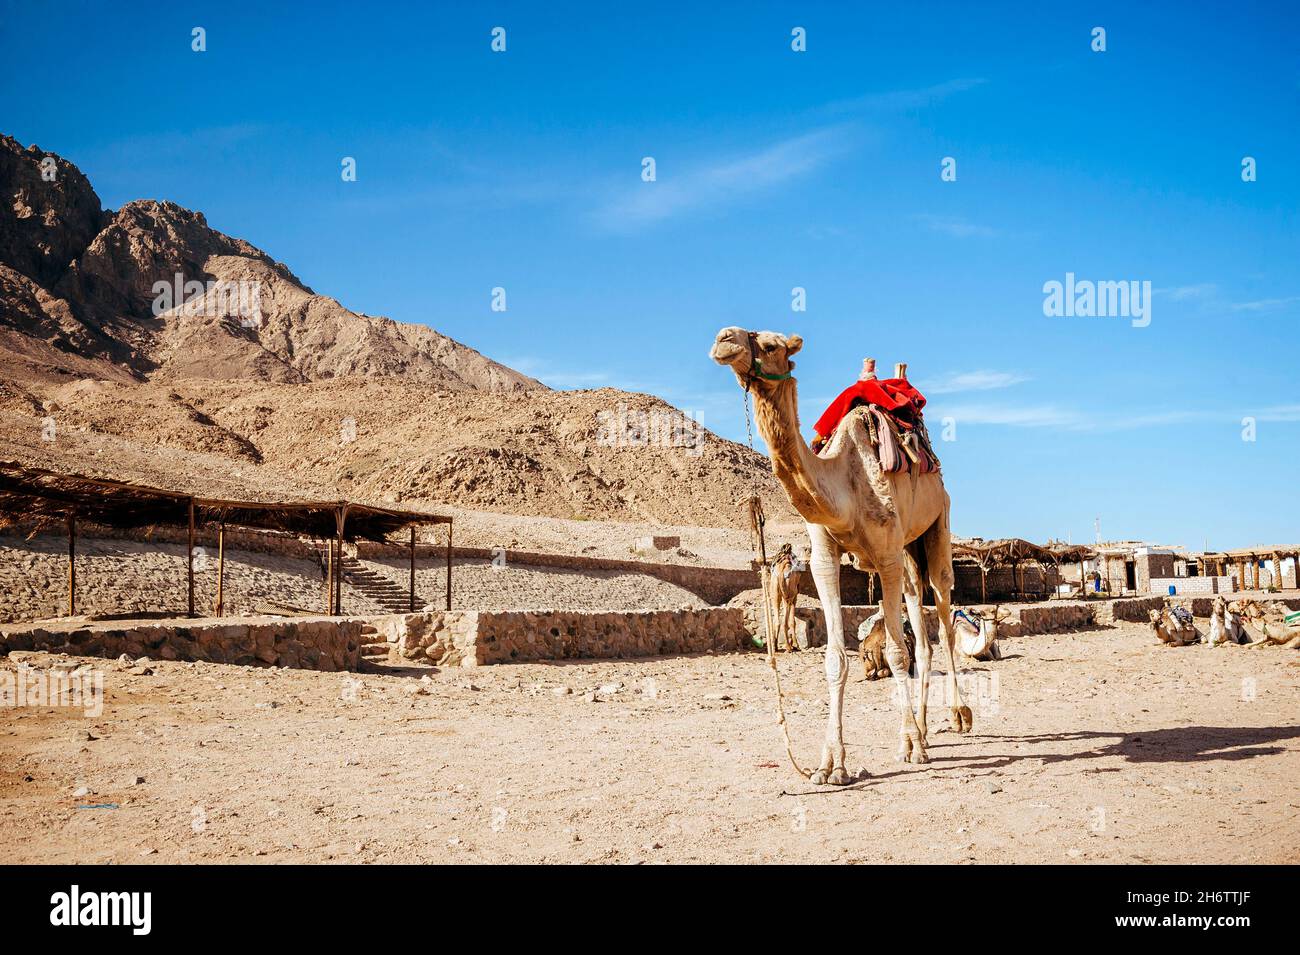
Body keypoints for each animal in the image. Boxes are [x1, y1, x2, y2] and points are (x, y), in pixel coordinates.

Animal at [711, 326, 969, 784]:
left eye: (773, 345)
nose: (724, 339)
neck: (845, 482)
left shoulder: (884, 554)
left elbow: (896, 652)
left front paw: (908, 747)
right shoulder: (824, 557)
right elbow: (835, 657)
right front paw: (830, 764)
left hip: (937, 524)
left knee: (942, 613)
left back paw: (955, 718)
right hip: (907, 554)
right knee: (921, 630)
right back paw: (924, 729)